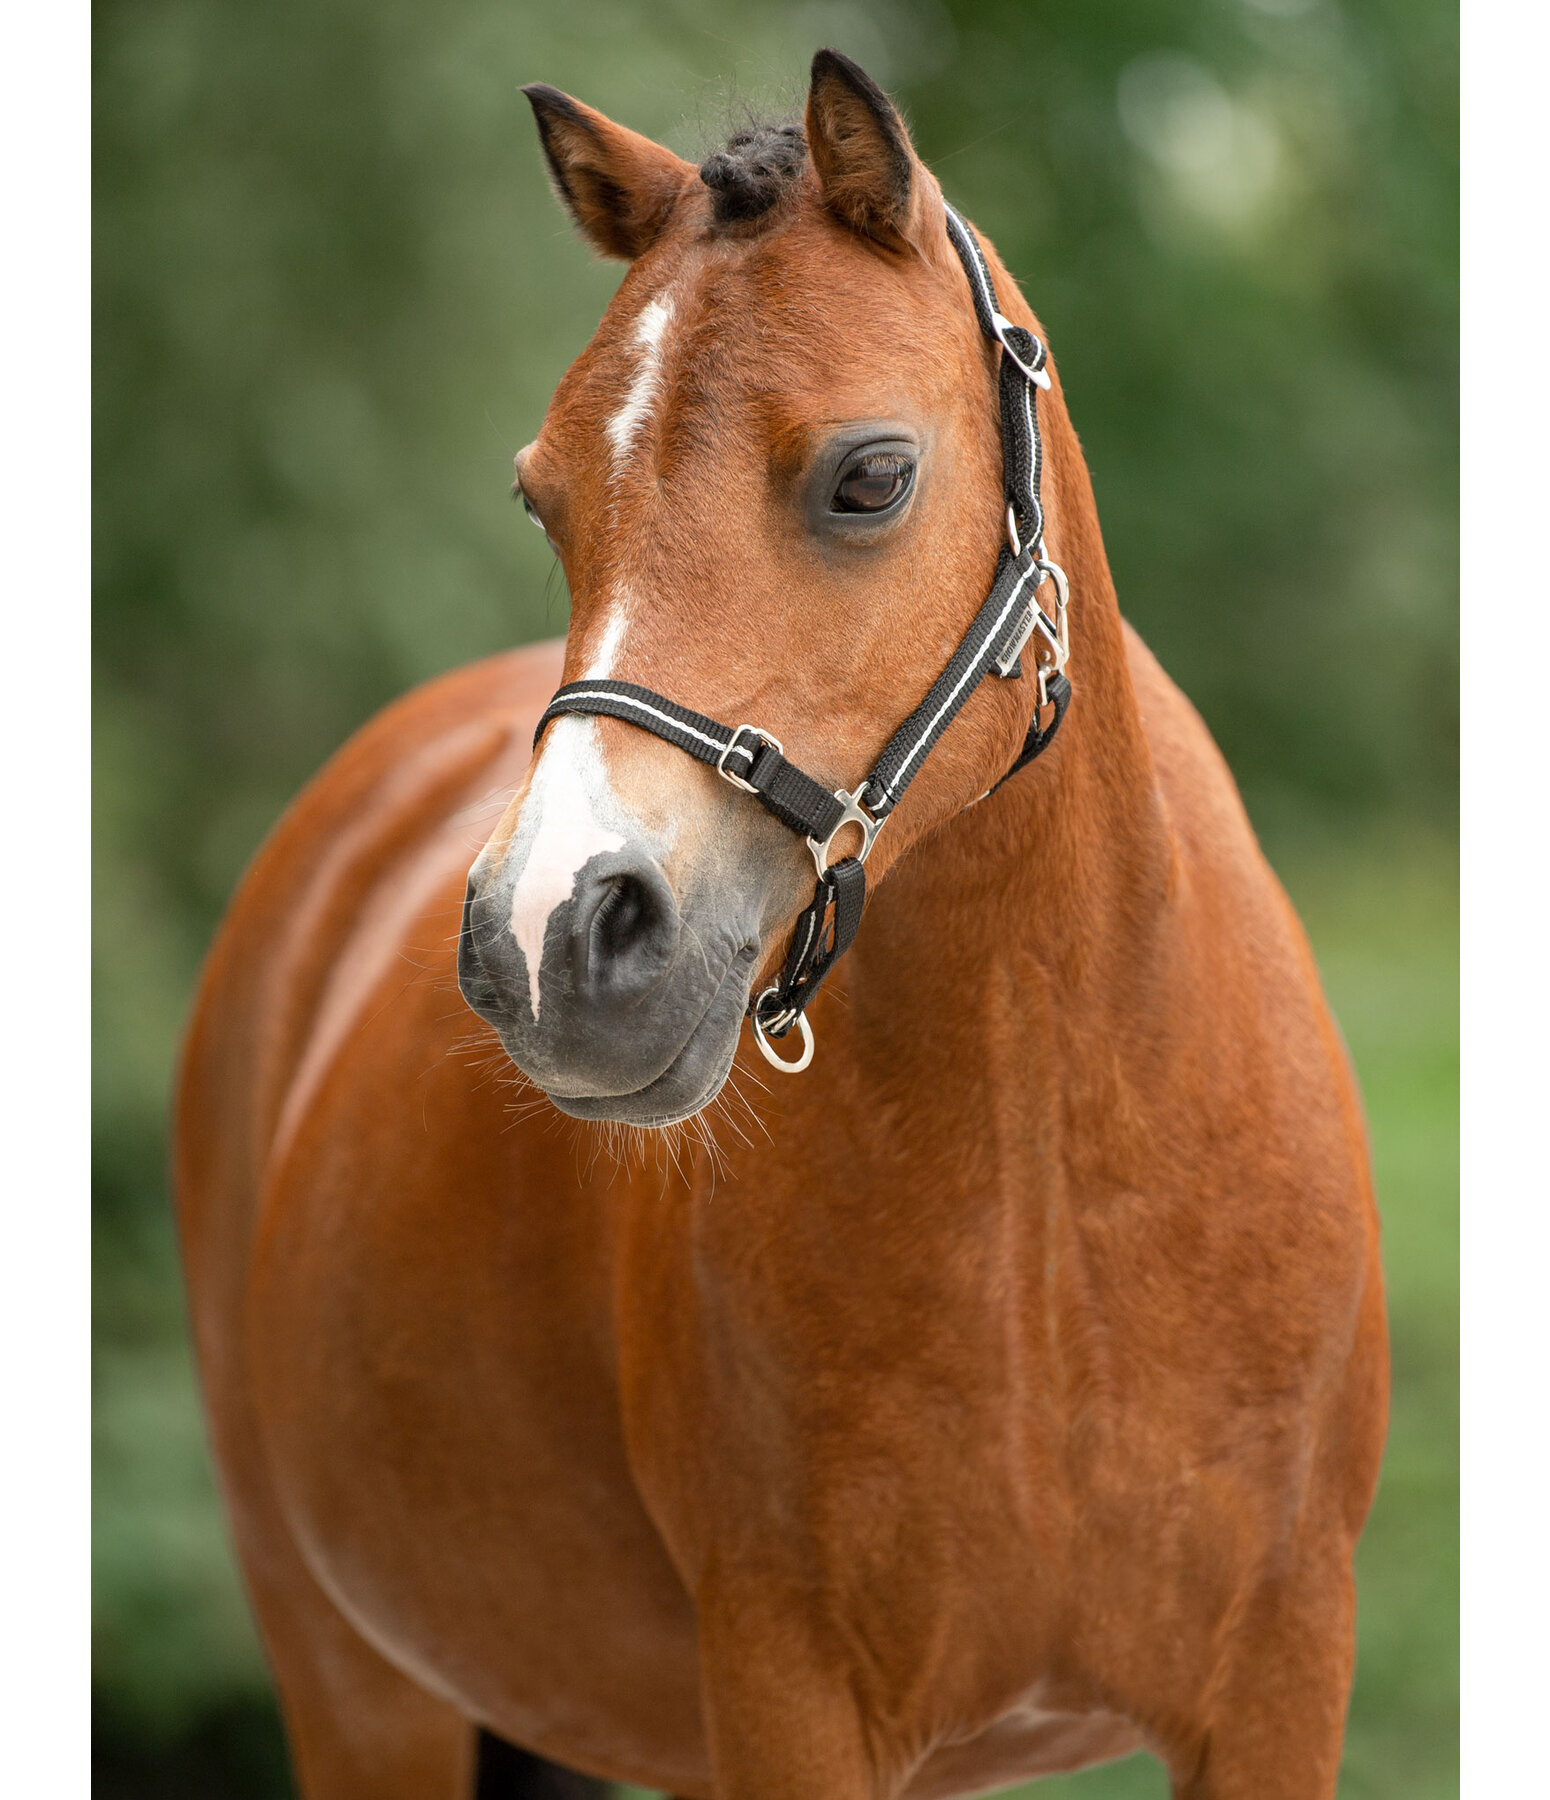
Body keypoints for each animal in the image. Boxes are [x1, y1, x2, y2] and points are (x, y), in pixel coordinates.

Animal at [175, 49, 1388, 1800]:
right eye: (545, 501)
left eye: (868, 476)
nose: (546, 944)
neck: (1048, 1198)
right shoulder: (789, 1693)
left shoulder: (1279, 1684)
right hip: (359, 1687)